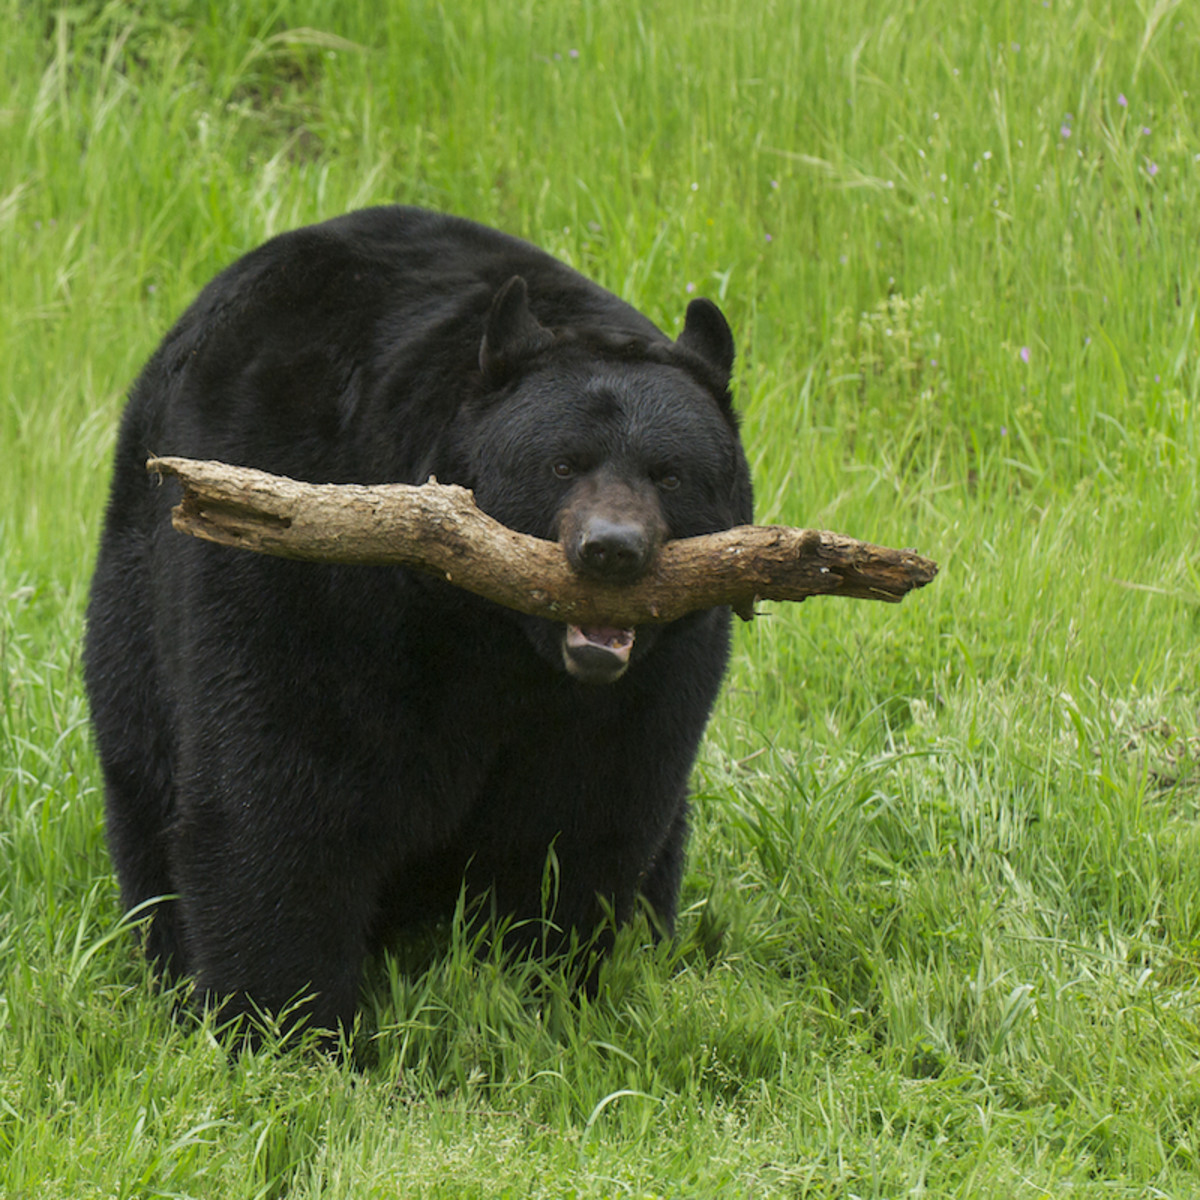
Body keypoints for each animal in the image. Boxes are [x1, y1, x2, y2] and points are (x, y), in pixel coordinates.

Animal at [83, 205, 753, 1037]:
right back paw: (168, 963)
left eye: (670, 474)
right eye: (562, 463)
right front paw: (284, 1024)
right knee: (144, 766)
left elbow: (592, 817)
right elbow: (282, 794)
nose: (612, 551)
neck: (492, 637)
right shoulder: (316, 578)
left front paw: (550, 992)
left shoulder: (655, 677)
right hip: (139, 582)